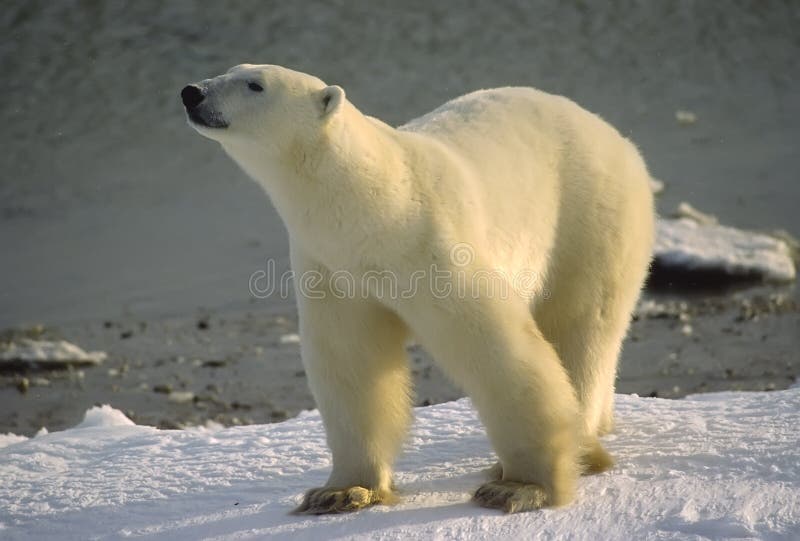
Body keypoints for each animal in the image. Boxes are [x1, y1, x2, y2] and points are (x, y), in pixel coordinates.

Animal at [182, 64, 655, 514]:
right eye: (229, 70)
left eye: (255, 84)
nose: (192, 92)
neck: (379, 208)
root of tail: (614, 135)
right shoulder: (335, 268)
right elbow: (351, 363)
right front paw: (342, 491)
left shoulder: (436, 244)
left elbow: (497, 348)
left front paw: (521, 486)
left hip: (592, 218)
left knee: (583, 327)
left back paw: (581, 447)